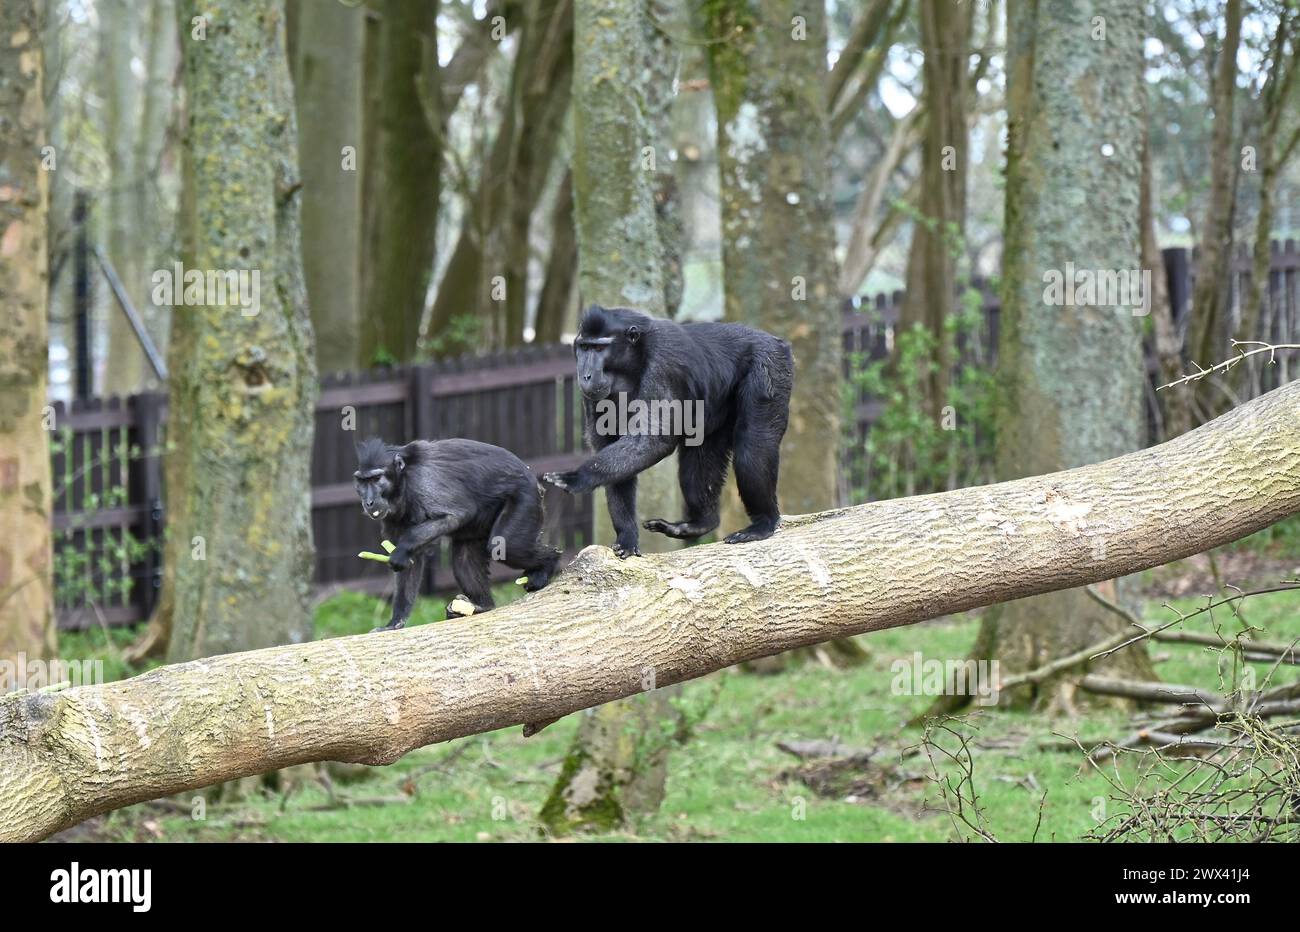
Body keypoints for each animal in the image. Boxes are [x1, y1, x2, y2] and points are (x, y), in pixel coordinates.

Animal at [354, 437, 560, 630]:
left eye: (376, 479)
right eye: (362, 481)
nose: (368, 501)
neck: (403, 479)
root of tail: (534, 480)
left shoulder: (424, 482)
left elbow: (453, 517)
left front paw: (401, 551)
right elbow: (411, 562)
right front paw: (395, 621)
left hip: (526, 498)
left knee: (507, 546)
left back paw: (549, 562)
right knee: (464, 559)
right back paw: (482, 607)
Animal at [542, 304, 793, 557]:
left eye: (599, 348)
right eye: (584, 347)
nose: (585, 375)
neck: (632, 363)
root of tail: (775, 341)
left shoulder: (664, 360)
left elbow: (655, 439)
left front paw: (577, 477)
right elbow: (611, 451)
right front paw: (627, 536)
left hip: (770, 366)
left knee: (753, 448)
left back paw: (764, 523)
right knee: (699, 455)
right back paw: (700, 523)